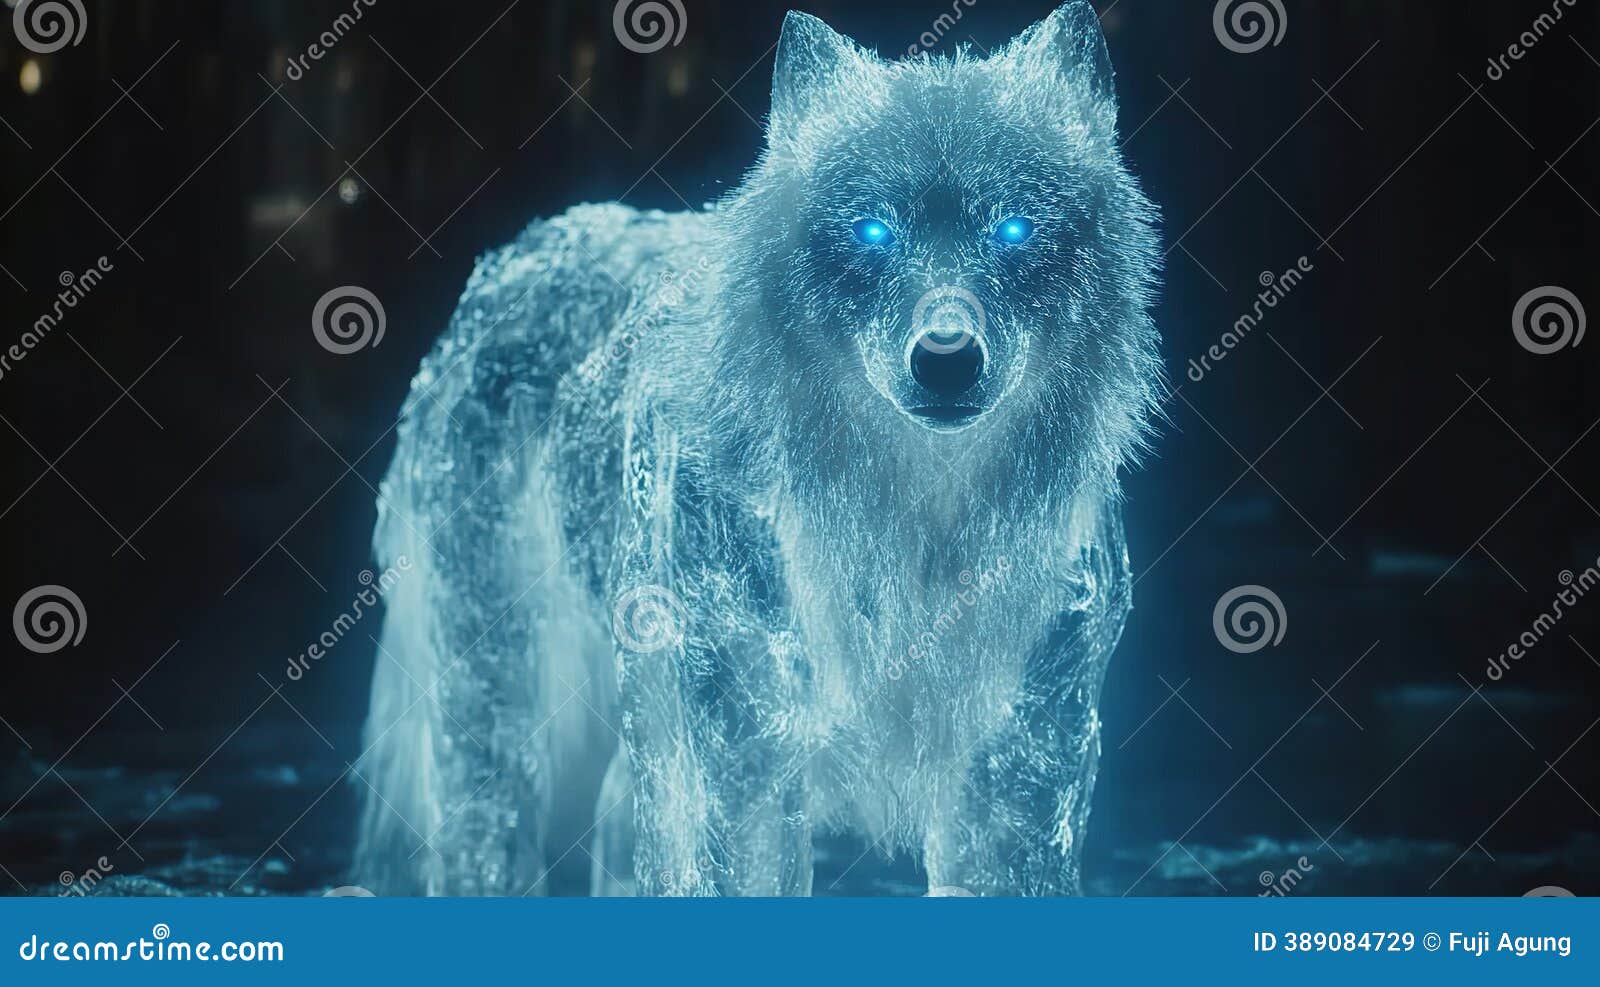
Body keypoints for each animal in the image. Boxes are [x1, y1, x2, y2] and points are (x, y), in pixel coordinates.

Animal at [356, 1, 1162, 896]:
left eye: (1014, 228)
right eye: (873, 230)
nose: (947, 356)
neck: (913, 535)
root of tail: (520, 250)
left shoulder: (1022, 778)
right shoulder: (746, 767)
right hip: (512, 715)